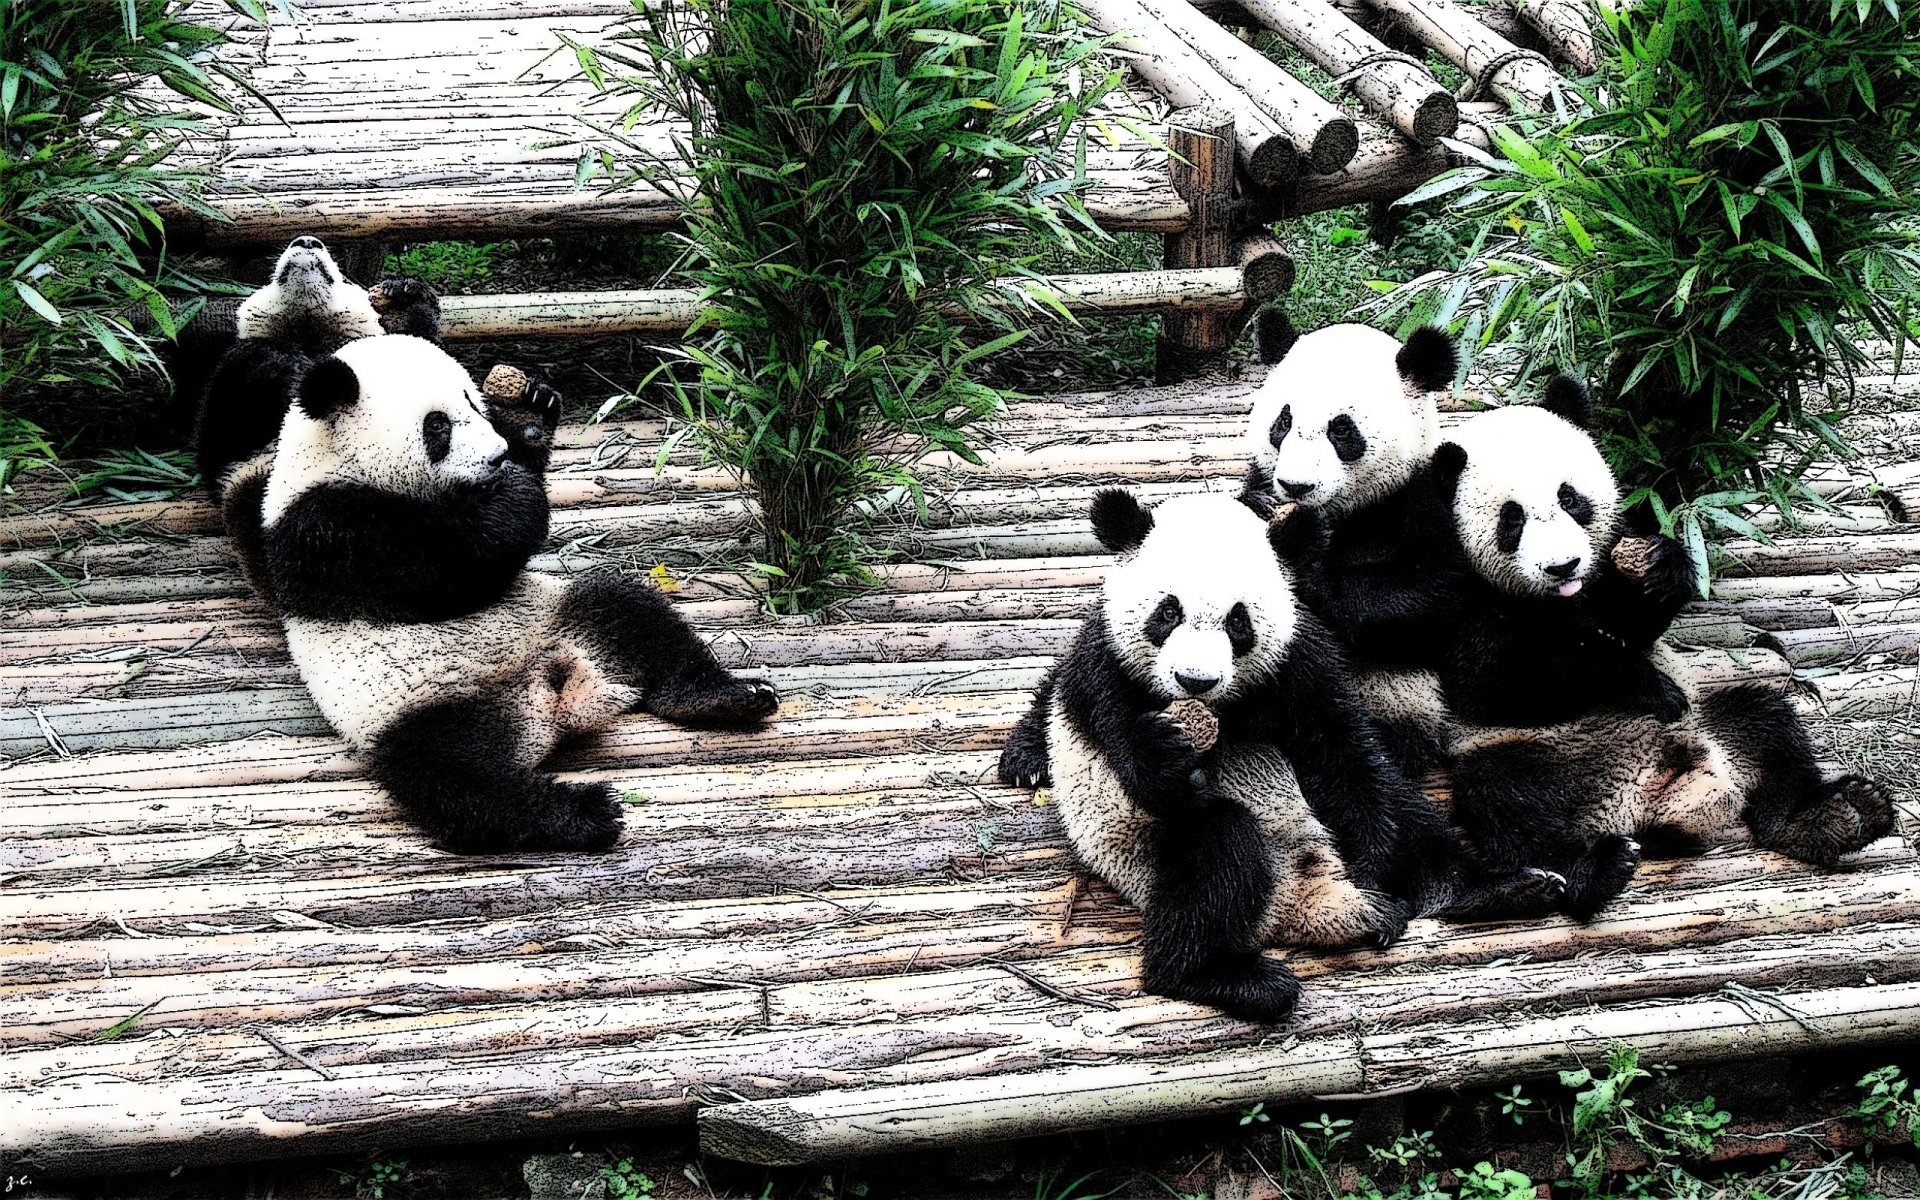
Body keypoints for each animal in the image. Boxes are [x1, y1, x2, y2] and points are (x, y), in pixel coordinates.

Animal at [242, 333, 780, 853]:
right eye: (437, 426)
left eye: (472, 402)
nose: (495, 456)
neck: (331, 460)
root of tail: (549, 701)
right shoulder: (326, 531)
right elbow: (446, 570)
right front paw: (511, 494)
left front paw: (529, 416)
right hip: (412, 708)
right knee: (455, 777)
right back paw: (582, 814)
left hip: (557, 617)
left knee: (629, 610)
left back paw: (727, 697)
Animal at [1030, 488, 1560, 1021]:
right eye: (1167, 612)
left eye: (1238, 621)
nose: (1195, 680)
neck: (1225, 707)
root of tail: (1306, 899)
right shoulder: (1104, 672)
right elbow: (1141, 768)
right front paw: (1169, 753)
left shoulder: (1296, 663)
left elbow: (1343, 755)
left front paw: (1374, 863)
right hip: (1140, 854)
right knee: (1218, 848)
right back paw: (1224, 977)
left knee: (1406, 809)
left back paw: (1493, 888)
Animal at [1371, 377, 1898, 916]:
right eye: (1511, 520)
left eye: (1570, 498)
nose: (1562, 566)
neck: (1561, 601)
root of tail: (1644, 801)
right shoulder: (1456, 596)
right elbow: (1496, 681)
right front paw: (1644, 684)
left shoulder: (1602, 570)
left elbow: (1636, 623)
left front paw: (1659, 569)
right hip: (1537, 756)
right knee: (1506, 799)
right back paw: (1589, 871)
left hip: (1707, 724)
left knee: (1764, 723)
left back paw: (1831, 818)